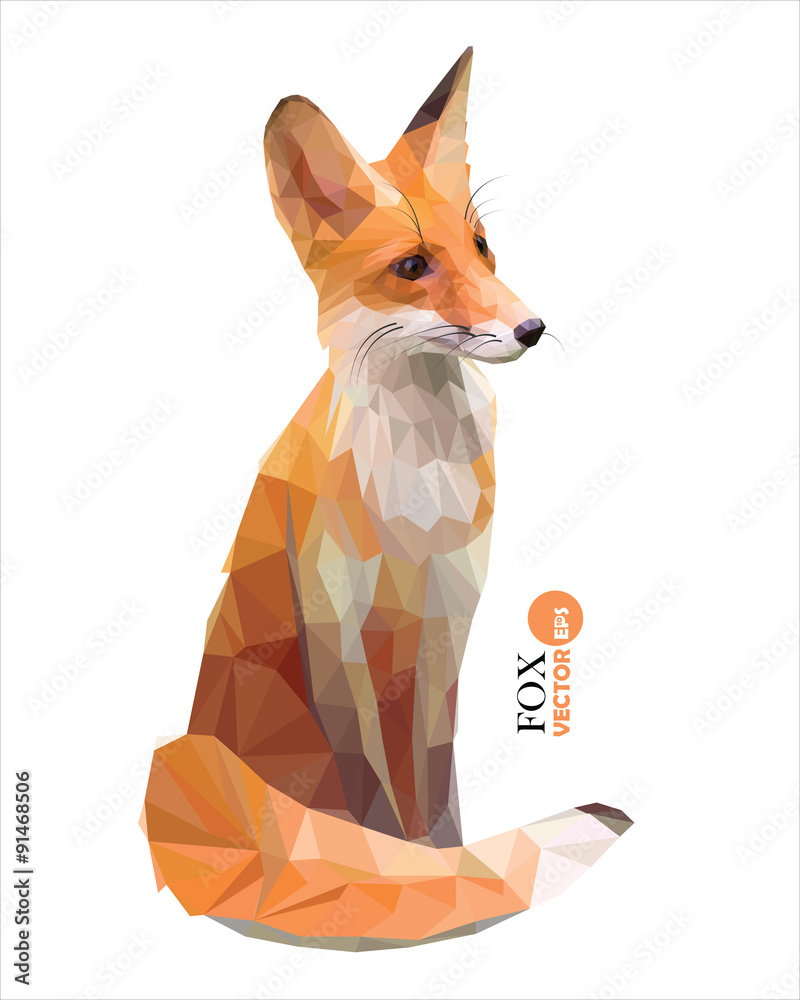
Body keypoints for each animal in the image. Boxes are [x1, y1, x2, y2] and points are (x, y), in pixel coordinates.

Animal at [141, 47, 631, 950]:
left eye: (483, 246)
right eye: (412, 267)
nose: (533, 327)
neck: (420, 496)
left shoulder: (445, 623)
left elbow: (432, 789)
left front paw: (442, 859)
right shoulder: (338, 631)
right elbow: (373, 798)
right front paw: (406, 875)